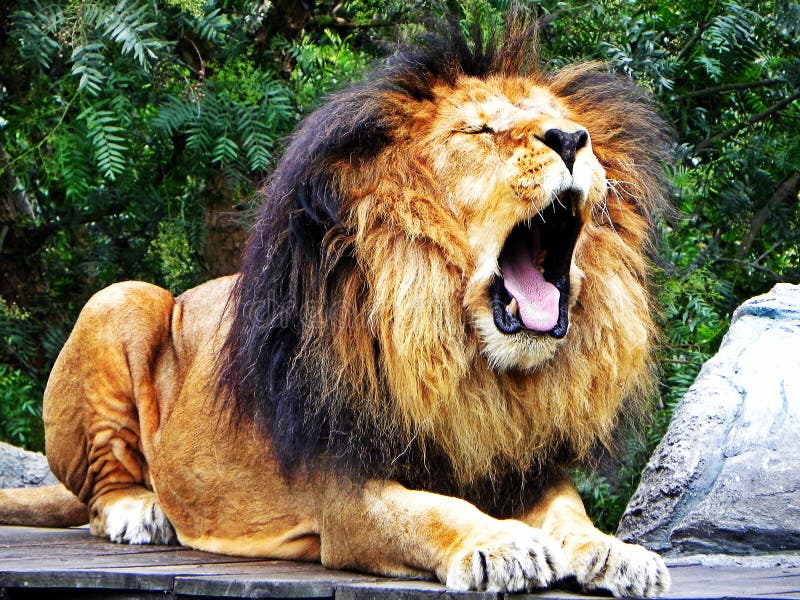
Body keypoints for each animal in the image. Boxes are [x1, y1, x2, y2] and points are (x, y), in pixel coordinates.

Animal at [0, 18, 672, 597]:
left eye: (566, 123)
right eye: (479, 132)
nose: (572, 140)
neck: (469, 365)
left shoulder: (527, 465)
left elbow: (570, 514)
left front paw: (619, 552)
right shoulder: (349, 495)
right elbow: (434, 511)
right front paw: (500, 544)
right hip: (120, 299)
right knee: (99, 492)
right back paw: (139, 510)